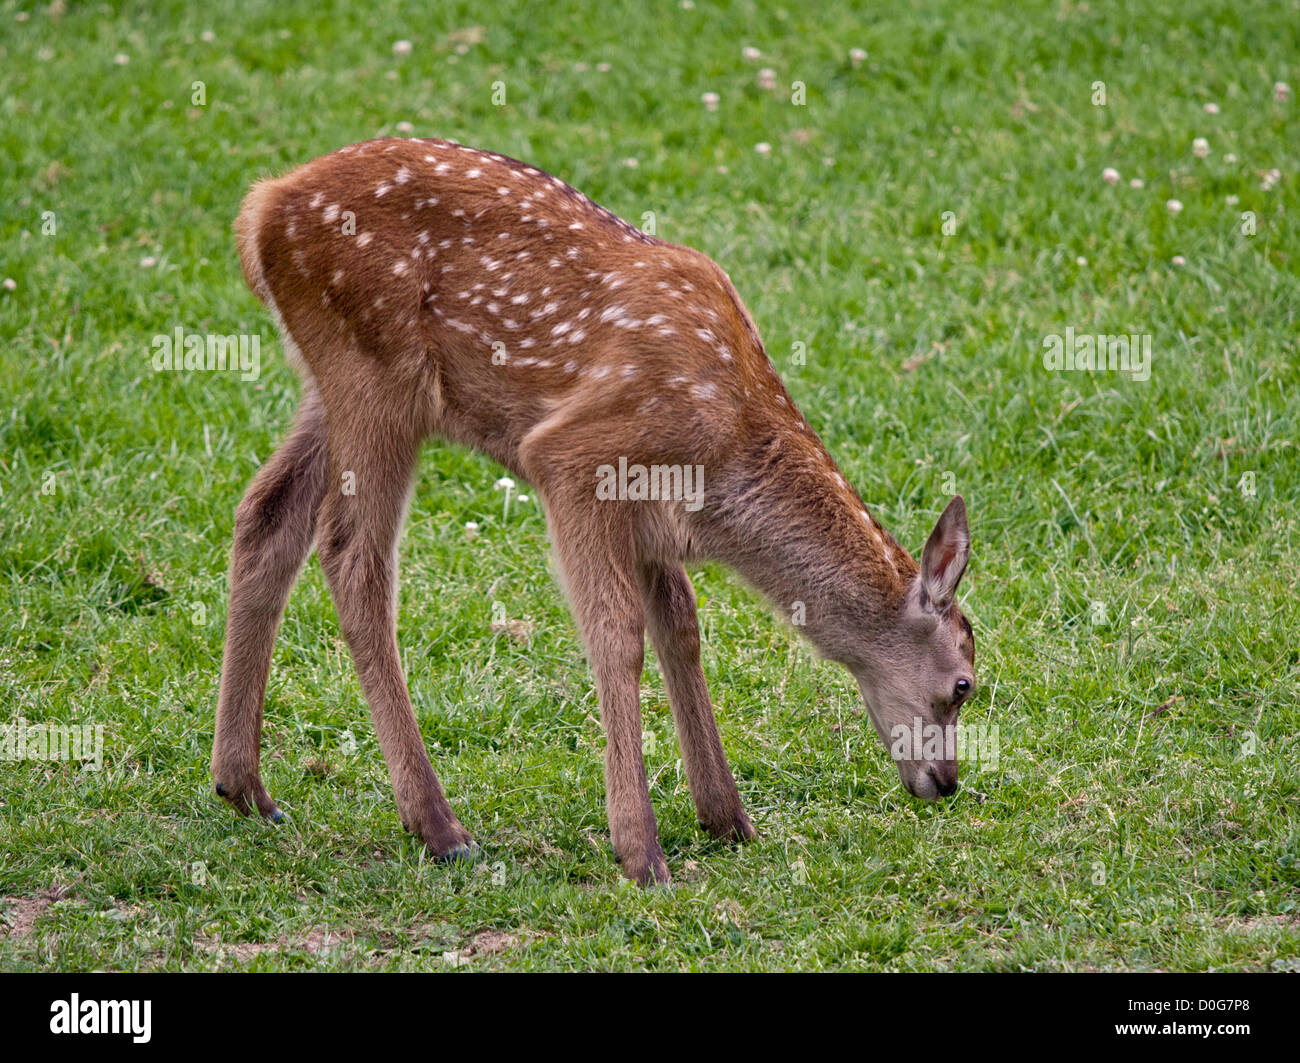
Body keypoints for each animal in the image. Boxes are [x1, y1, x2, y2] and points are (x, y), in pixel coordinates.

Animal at [212, 136, 975, 886]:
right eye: (963, 684)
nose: (947, 781)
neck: (725, 467)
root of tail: (259, 210)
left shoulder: (653, 517)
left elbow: (682, 627)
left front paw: (726, 815)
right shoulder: (575, 458)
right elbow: (617, 636)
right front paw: (641, 851)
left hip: (328, 386)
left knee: (265, 515)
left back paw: (244, 788)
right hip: (376, 377)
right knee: (353, 560)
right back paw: (439, 826)